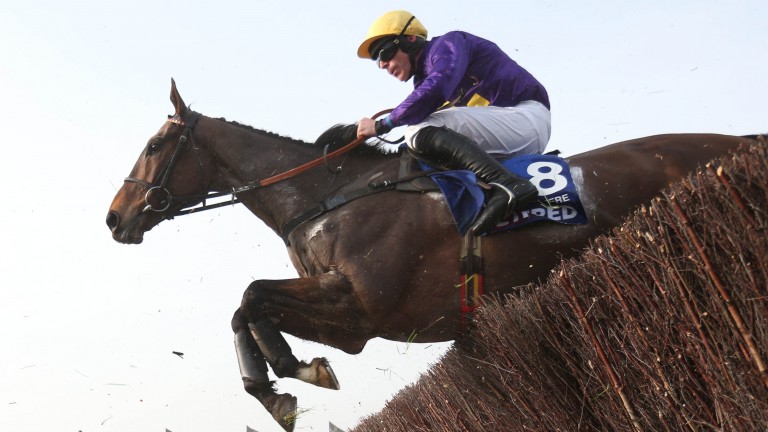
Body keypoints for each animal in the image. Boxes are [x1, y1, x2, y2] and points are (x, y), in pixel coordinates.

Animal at [106, 80, 759, 431]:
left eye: (155, 144)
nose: (115, 218)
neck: (327, 196)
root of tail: (738, 140)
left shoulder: (362, 308)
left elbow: (250, 295)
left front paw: (291, 376)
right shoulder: (349, 323)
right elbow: (247, 306)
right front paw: (282, 382)